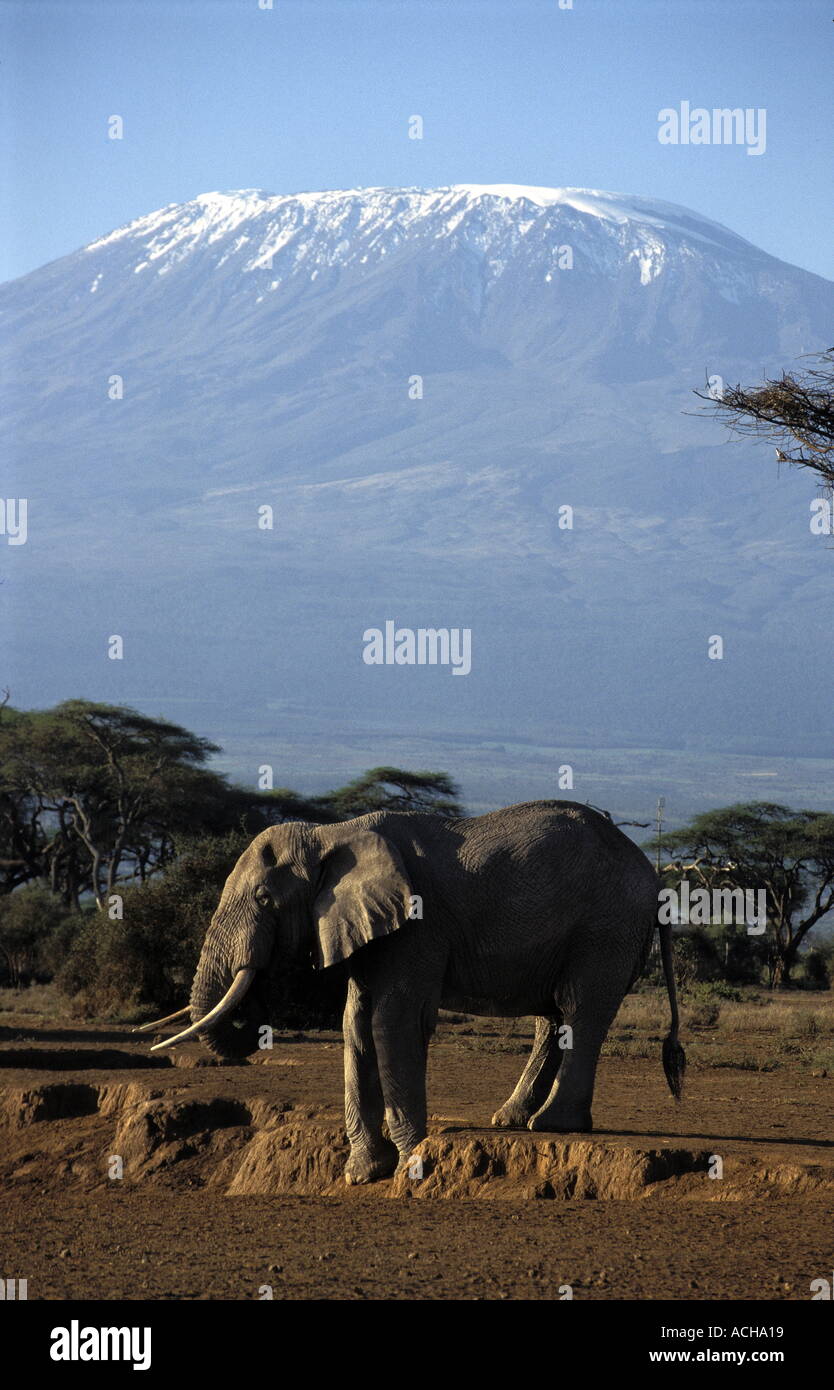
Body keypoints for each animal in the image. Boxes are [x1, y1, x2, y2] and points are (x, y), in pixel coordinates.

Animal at [148, 799, 685, 1184]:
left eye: (264, 898)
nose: (257, 988)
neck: (331, 833)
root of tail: (653, 874)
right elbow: (355, 1023)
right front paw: (363, 1174)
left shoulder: (418, 924)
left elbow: (392, 1019)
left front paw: (412, 1161)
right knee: (552, 1019)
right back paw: (509, 1121)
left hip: (606, 927)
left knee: (580, 1010)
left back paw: (551, 1125)